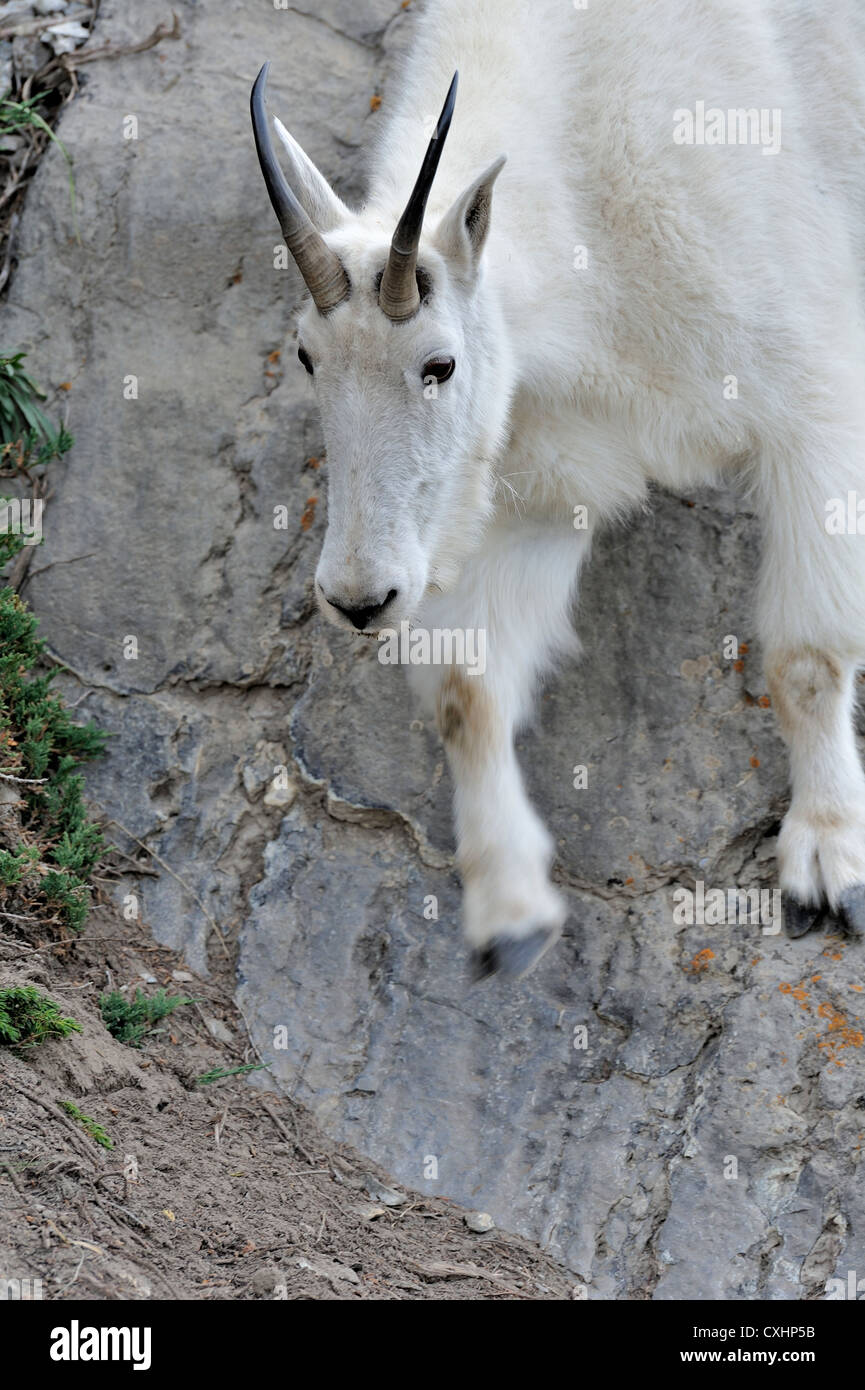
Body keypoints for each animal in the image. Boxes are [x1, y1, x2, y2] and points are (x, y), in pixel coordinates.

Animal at [251, 0, 865, 978]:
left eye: (439, 364)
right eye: (307, 358)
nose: (358, 598)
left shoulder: (809, 401)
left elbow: (805, 657)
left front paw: (828, 858)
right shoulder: (532, 492)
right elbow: (468, 695)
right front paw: (510, 914)